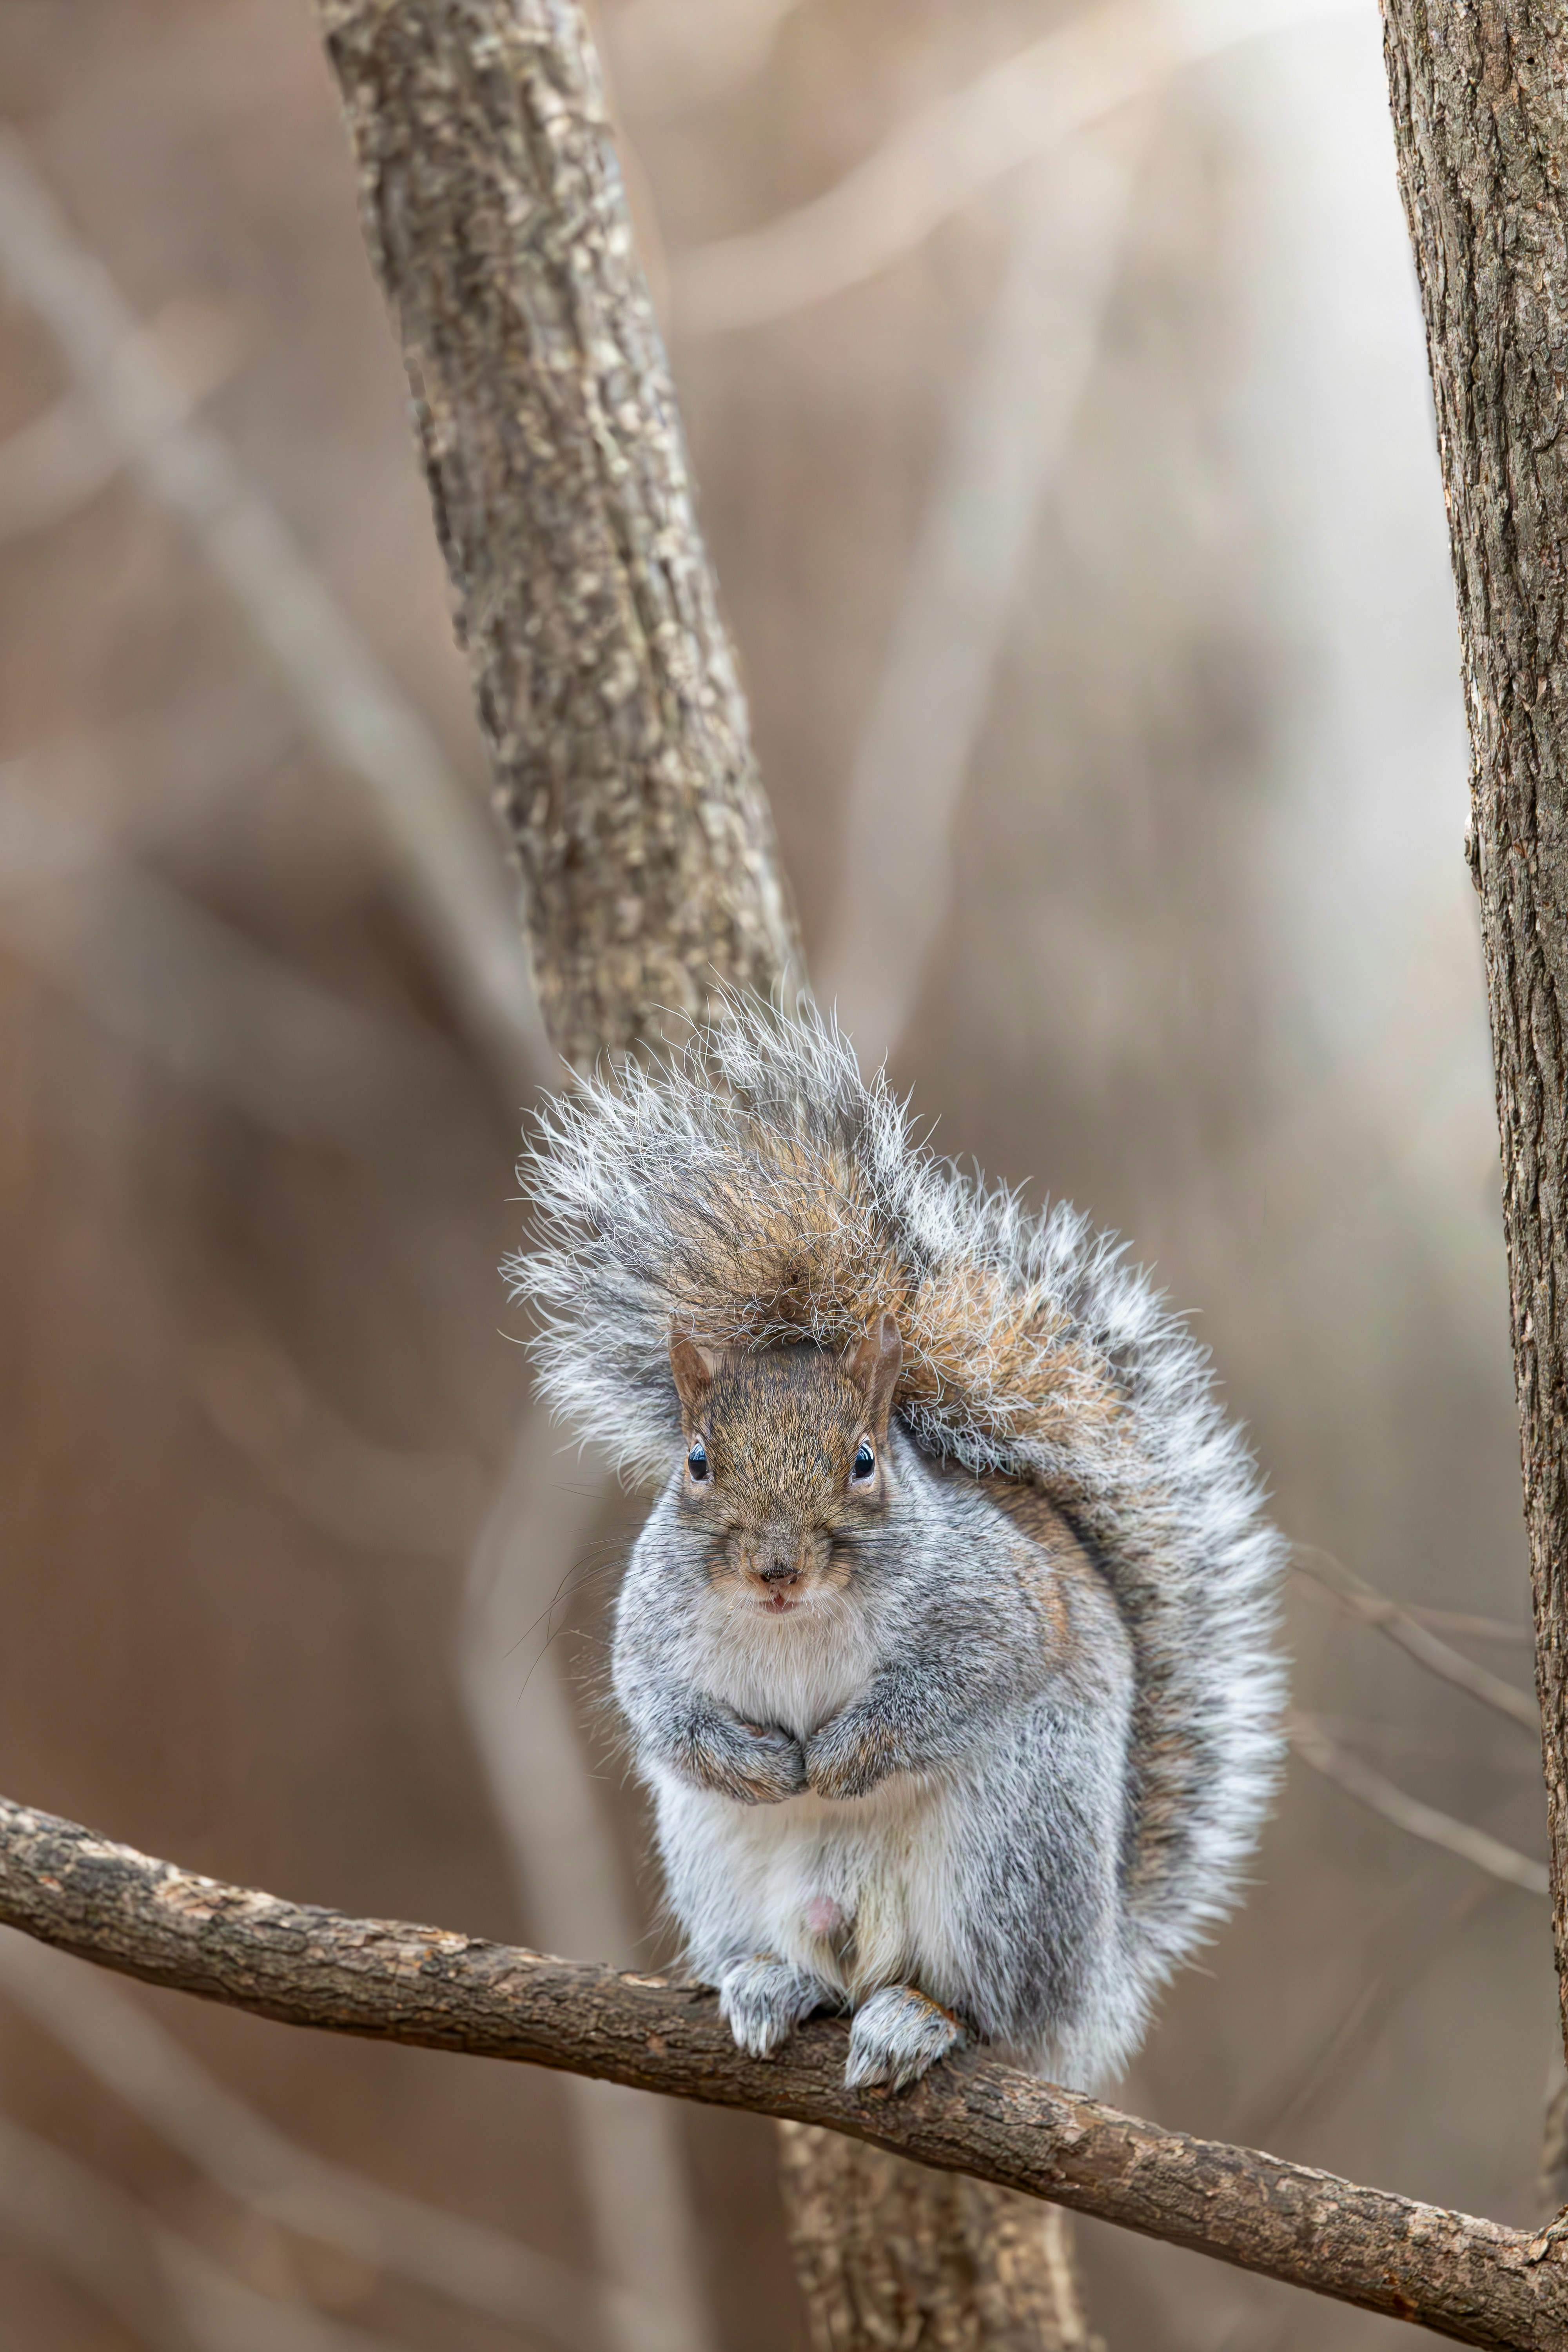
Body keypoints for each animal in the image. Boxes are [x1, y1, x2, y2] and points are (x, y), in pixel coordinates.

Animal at [511, 1001, 1284, 2094]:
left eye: (865, 1460)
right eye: (696, 1462)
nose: (777, 1570)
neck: (795, 1623)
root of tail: (1087, 2000)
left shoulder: (997, 1605)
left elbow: (956, 1683)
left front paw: (843, 1757)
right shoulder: (650, 1628)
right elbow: (658, 1710)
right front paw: (757, 1764)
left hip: (1013, 1856)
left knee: (988, 2009)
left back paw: (920, 2018)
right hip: (719, 1870)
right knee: (798, 1961)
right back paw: (769, 1983)